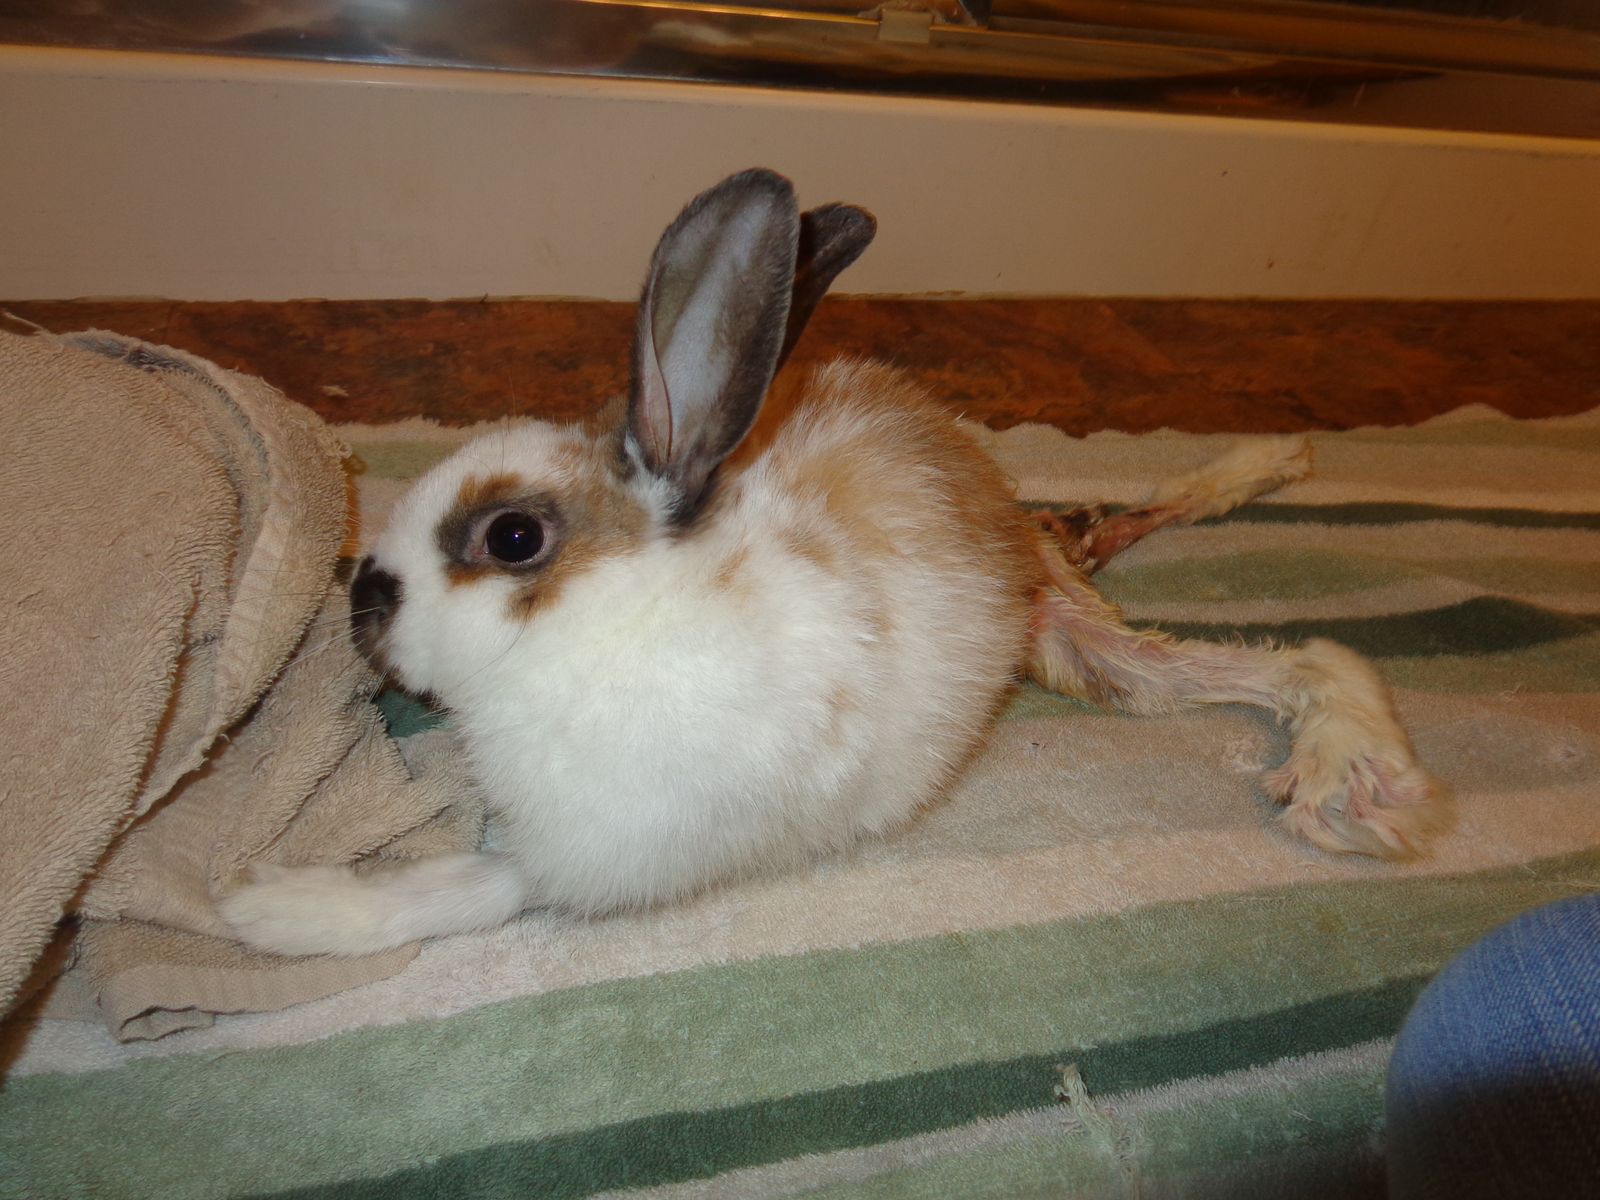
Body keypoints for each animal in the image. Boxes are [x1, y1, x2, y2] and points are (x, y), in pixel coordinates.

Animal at [219, 168, 1446, 958]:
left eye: (511, 538)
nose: (363, 599)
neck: (610, 620)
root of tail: (1020, 538)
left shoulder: (580, 856)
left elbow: (454, 893)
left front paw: (273, 911)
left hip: (1077, 639)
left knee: (1310, 656)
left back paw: (1355, 776)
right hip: (1084, 645)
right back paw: (1278, 467)